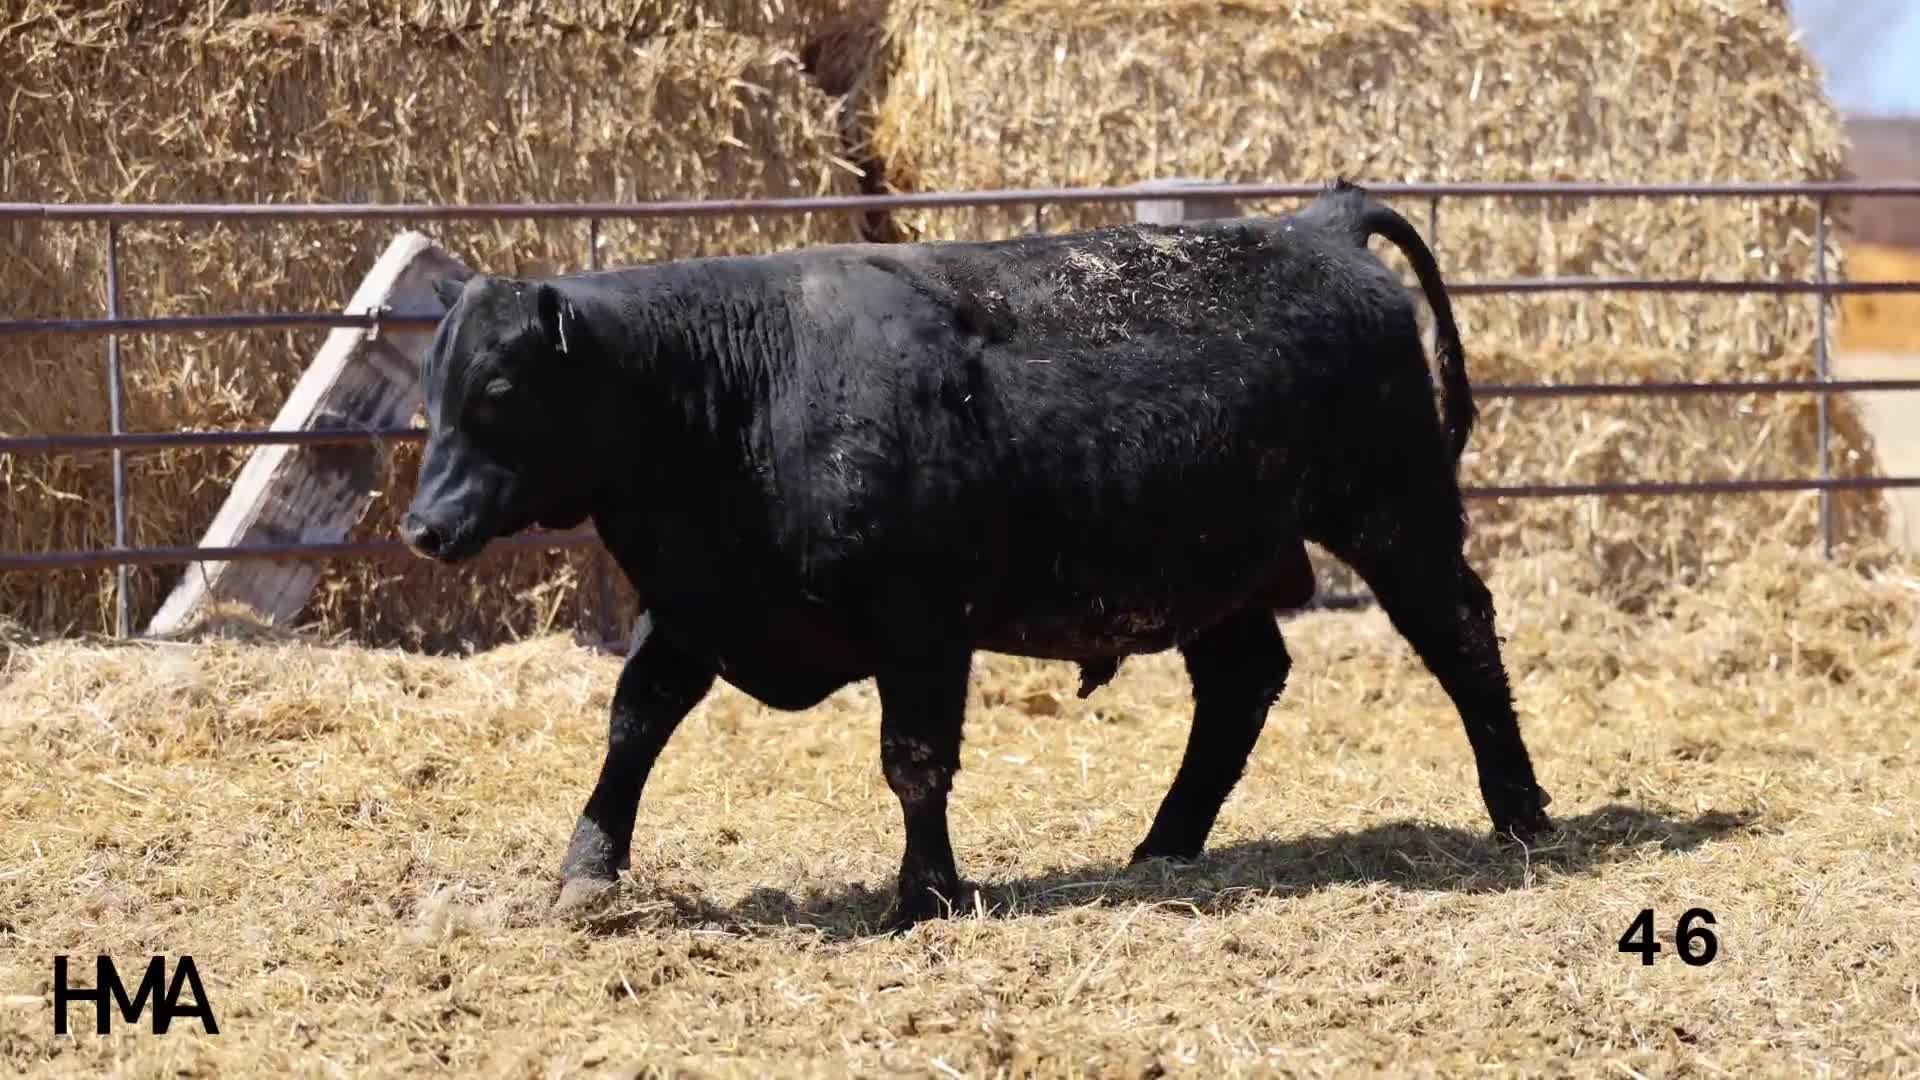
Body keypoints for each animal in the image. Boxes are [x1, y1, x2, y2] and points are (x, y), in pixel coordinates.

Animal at [400, 179, 1555, 931]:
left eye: (498, 389)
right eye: (436, 389)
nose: (423, 526)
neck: (743, 384)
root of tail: (1320, 225)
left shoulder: (922, 624)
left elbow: (914, 761)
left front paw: (926, 894)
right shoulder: (693, 607)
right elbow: (632, 727)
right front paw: (585, 873)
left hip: (1396, 517)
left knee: (1462, 640)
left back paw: (1522, 811)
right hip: (1218, 568)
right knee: (1241, 683)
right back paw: (1164, 845)